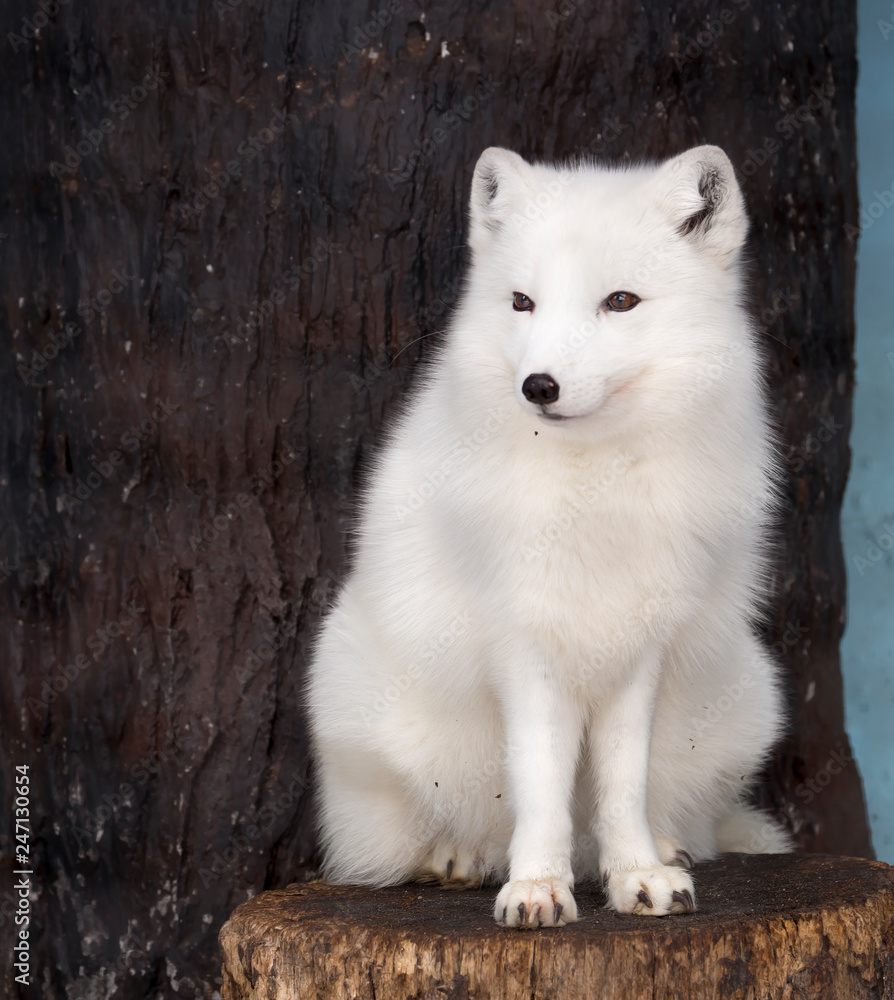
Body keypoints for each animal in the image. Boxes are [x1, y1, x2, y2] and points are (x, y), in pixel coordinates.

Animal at [306, 145, 791, 928]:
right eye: (521, 302)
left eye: (620, 301)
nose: (539, 385)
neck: (594, 492)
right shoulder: (525, 648)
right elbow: (541, 786)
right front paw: (536, 887)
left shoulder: (637, 649)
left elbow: (621, 784)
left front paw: (637, 875)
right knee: (418, 836)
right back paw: (456, 859)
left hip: (752, 693)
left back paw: (667, 847)